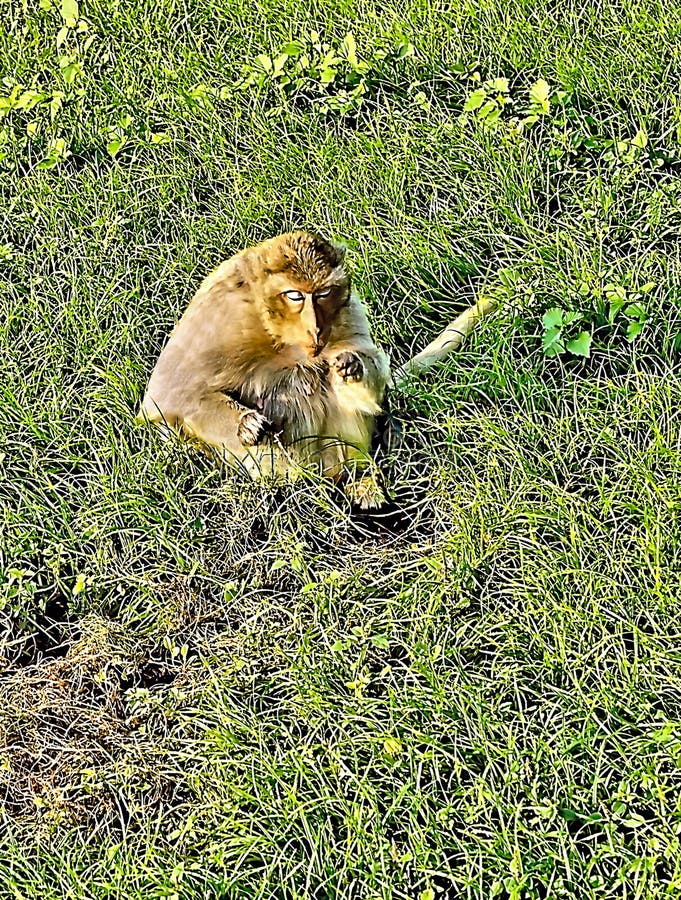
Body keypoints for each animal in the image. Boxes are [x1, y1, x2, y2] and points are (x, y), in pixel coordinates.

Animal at [137, 231, 496, 507]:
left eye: (323, 294)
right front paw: (246, 425)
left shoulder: (347, 310)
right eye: (295, 295)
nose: (315, 328)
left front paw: (352, 366)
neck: (272, 329)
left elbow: (368, 371)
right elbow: (168, 396)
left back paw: (358, 479)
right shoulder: (220, 315)